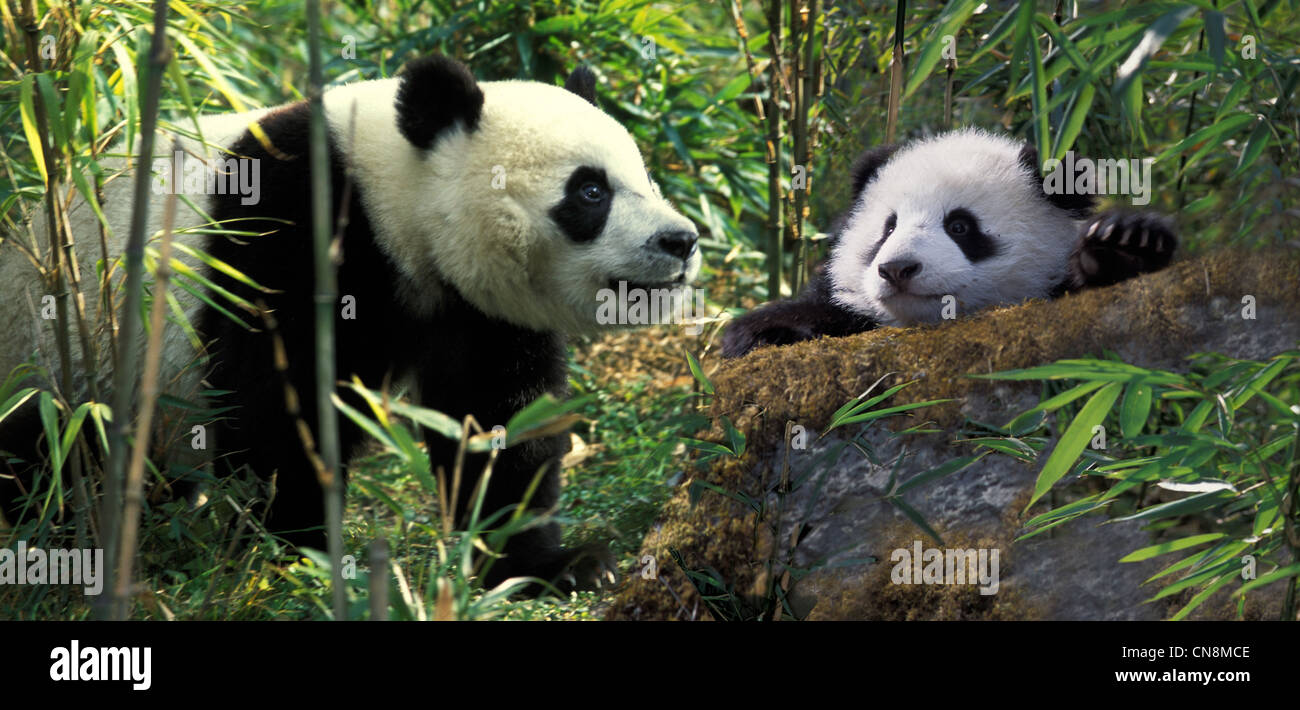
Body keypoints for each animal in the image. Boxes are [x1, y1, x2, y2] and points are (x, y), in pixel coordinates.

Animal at [0, 55, 701, 592]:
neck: (390, 200)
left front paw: (553, 564)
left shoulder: (476, 307)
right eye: (590, 192)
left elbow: (498, 418)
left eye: (642, 175)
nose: (681, 241)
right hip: (60, 356)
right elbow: (279, 405)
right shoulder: (285, 231)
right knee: (46, 451)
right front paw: (293, 550)